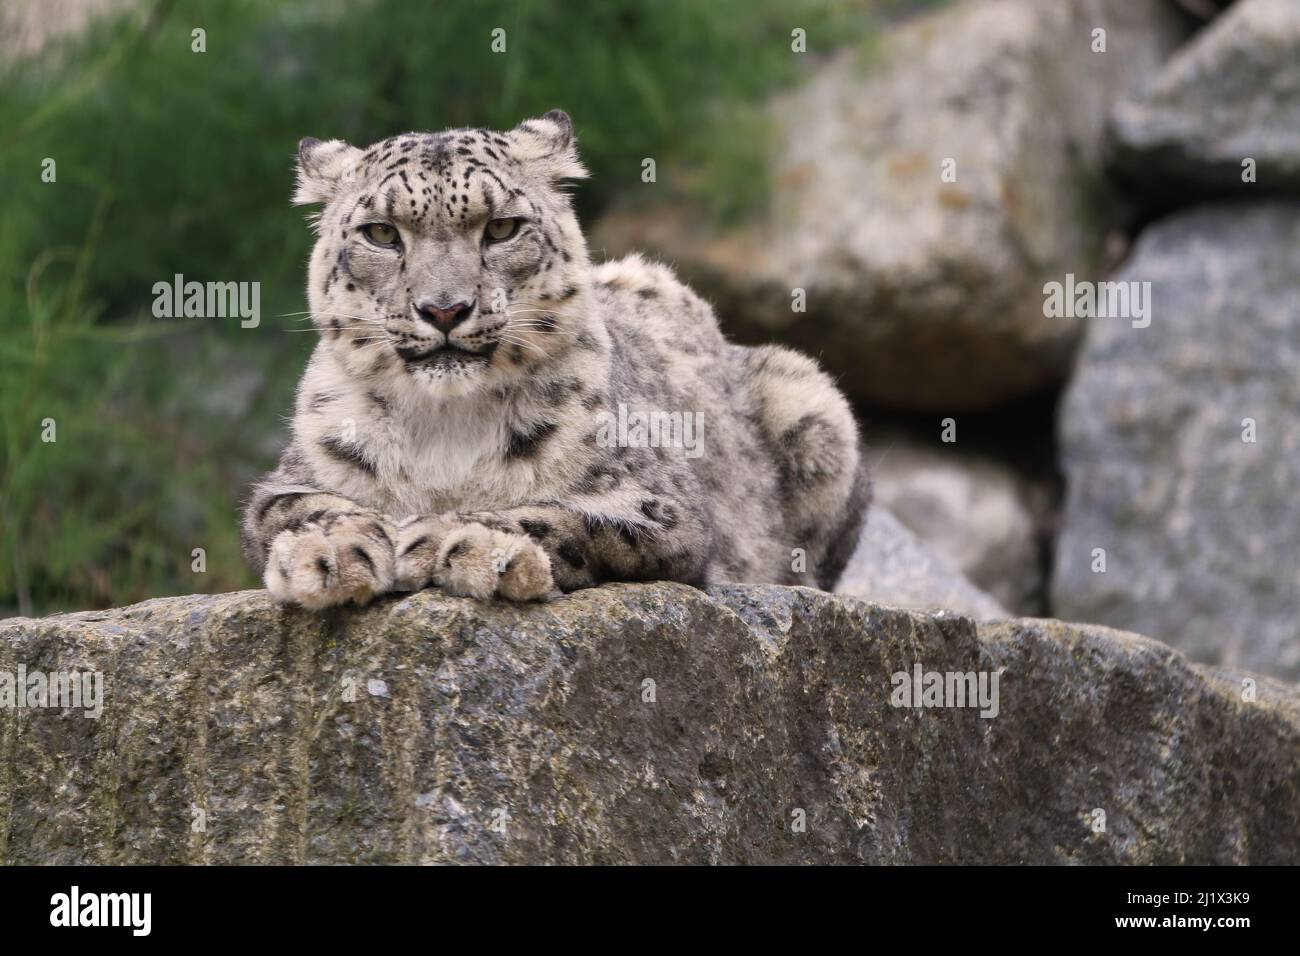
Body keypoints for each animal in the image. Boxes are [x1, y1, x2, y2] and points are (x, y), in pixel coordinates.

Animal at [241, 110, 869, 609]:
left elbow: (559, 513)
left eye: (501, 227)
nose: (444, 309)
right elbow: (306, 508)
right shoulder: (286, 482)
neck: (445, 430)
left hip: (811, 400)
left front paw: (463, 542)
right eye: (380, 233)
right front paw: (327, 554)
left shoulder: (663, 506)